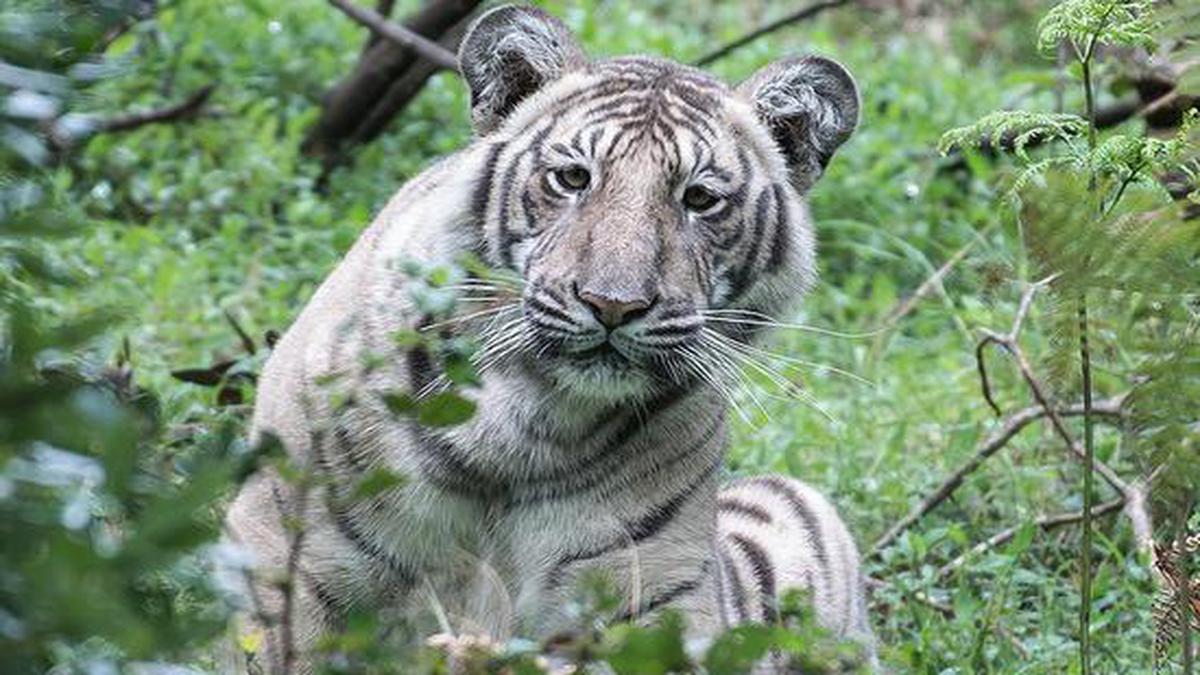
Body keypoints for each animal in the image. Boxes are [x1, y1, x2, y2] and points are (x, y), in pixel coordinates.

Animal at [223, 4, 875, 672]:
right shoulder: (287, 545)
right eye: (572, 178)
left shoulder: (653, 598)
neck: (522, 424)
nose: (613, 304)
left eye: (699, 198)